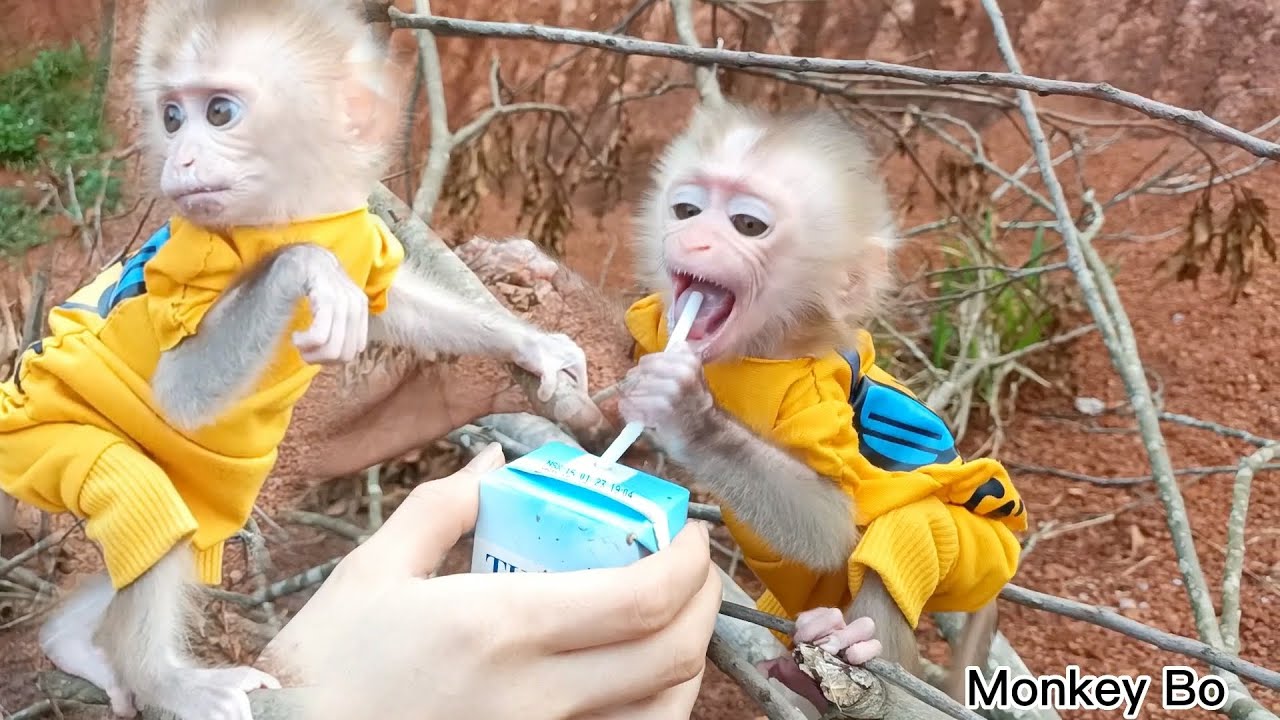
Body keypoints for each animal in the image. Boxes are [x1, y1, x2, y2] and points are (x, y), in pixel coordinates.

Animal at [0, 2, 589, 719]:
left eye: (218, 112)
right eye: (171, 117)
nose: (181, 157)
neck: (289, 212)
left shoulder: (361, 228)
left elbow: (392, 304)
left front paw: (526, 342)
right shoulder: (191, 259)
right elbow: (180, 391)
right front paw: (306, 267)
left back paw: (72, 640)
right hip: (46, 443)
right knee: (143, 498)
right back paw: (164, 678)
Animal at [613, 101, 1027, 709]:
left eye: (748, 224)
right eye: (685, 210)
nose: (695, 238)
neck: (756, 353)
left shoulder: (815, 399)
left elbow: (833, 528)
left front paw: (687, 411)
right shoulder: (652, 323)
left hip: (986, 551)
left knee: (909, 527)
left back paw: (859, 649)